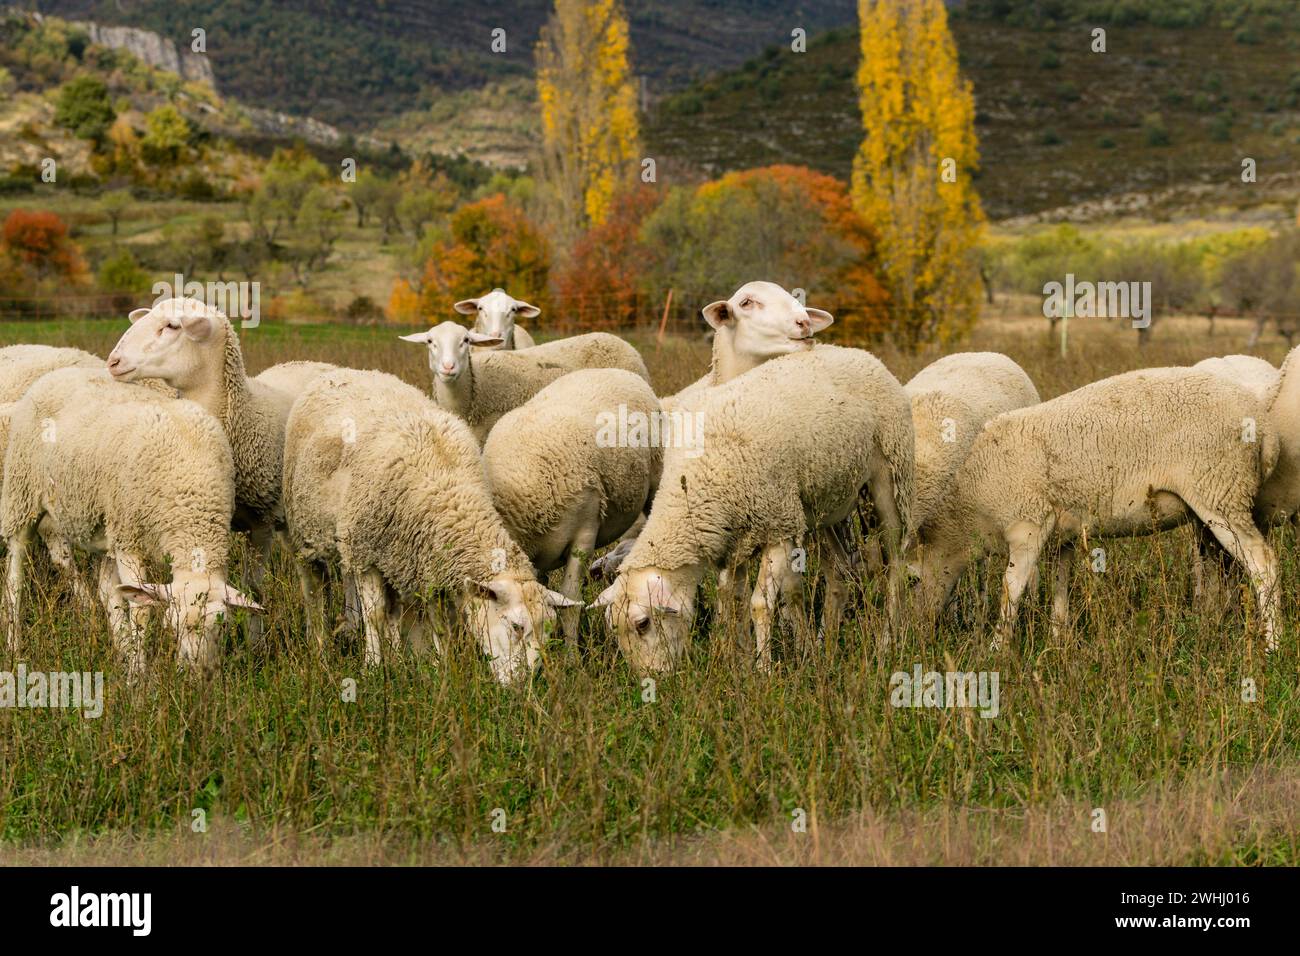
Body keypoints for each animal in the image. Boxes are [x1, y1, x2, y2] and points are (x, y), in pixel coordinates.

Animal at [2, 368, 260, 672]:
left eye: (222, 626)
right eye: (172, 627)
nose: (198, 674)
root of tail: (58, 373)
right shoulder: (130, 541)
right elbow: (142, 612)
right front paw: (139, 675)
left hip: (103, 524)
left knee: (103, 588)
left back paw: (118, 645)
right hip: (23, 494)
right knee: (15, 577)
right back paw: (14, 649)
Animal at [281, 367, 579, 683]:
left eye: (549, 632)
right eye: (516, 626)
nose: (526, 684)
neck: (450, 492)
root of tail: (343, 372)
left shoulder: (430, 564)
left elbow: (439, 624)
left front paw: (439, 668)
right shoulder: (365, 554)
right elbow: (373, 615)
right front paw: (372, 668)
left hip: (395, 558)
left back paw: (397, 659)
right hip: (308, 532)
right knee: (314, 589)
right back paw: (320, 645)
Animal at [590, 345, 914, 673]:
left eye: (642, 623)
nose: (655, 676)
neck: (700, 482)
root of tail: (859, 353)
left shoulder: (780, 525)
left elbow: (759, 604)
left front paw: (764, 670)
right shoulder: (734, 544)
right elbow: (731, 600)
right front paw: (740, 664)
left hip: (890, 479)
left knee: (895, 566)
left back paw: (888, 642)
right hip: (826, 507)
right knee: (840, 573)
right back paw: (825, 650)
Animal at [915, 367, 1281, 652]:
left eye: (913, 581)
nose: (918, 629)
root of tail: (1266, 428)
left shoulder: (1027, 525)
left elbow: (1011, 589)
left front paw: (997, 647)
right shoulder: (1062, 534)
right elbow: (1060, 586)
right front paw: (1057, 641)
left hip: (1220, 491)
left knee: (1264, 563)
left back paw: (1273, 644)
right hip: (1217, 502)